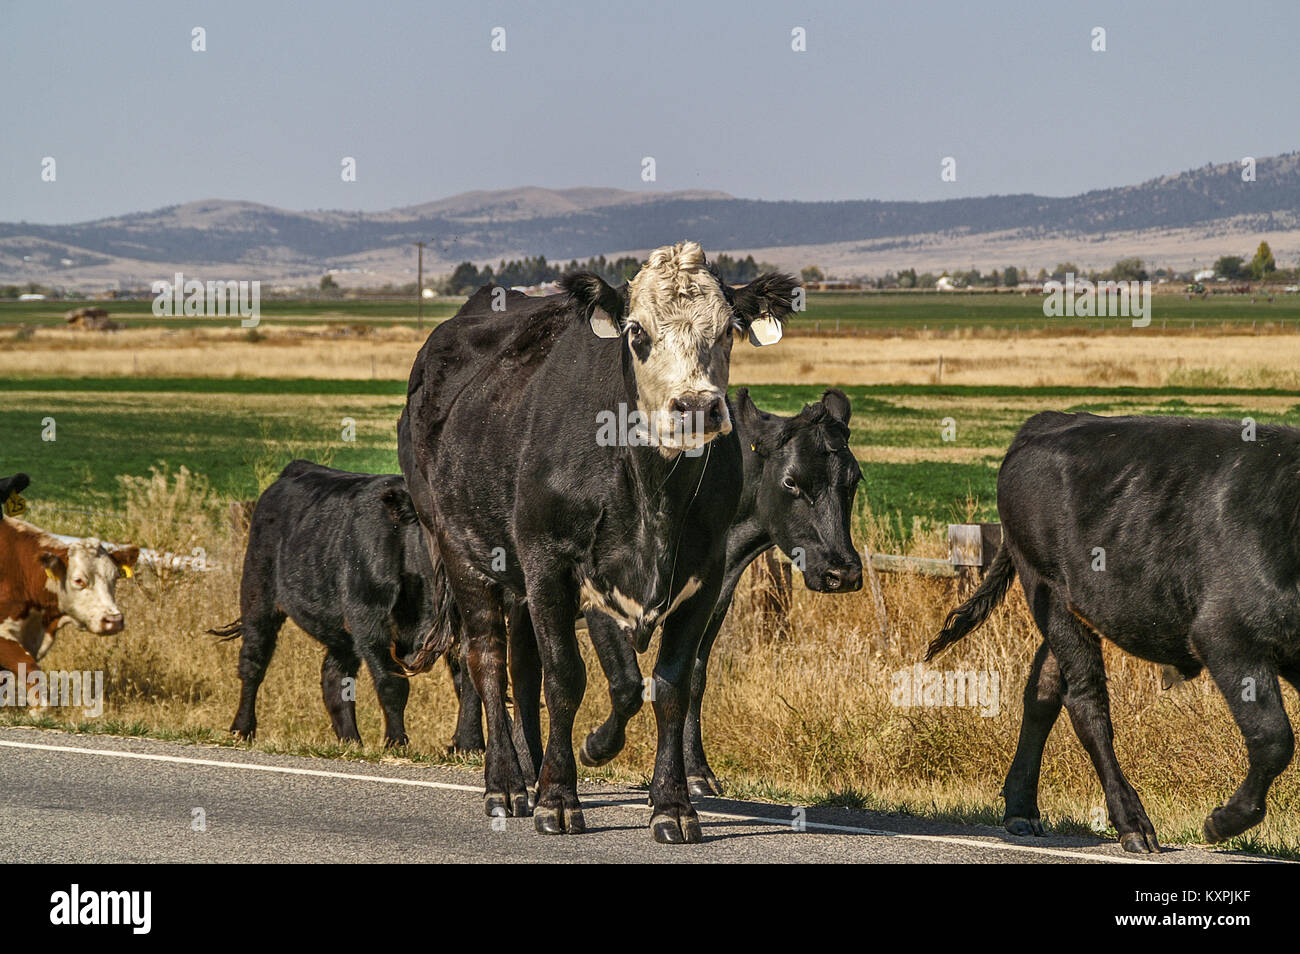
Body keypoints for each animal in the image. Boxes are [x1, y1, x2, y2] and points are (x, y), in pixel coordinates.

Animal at [211, 460, 457, 749]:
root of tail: (296, 468)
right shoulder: (369, 623)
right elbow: (392, 684)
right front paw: (397, 743)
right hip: (257, 596)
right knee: (253, 663)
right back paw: (242, 729)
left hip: (339, 631)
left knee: (334, 677)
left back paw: (351, 741)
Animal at [399, 241, 796, 843]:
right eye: (636, 332)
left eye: (728, 330)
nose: (696, 406)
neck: (653, 492)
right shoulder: (551, 564)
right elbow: (566, 678)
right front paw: (560, 799)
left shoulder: (704, 576)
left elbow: (671, 686)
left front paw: (672, 804)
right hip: (461, 552)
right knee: (488, 661)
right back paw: (507, 785)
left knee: (521, 667)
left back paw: (531, 772)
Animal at [450, 387, 864, 797]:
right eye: (791, 482)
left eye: (855, 479)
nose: (843, 572)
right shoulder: (603, 603)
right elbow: (627, 685)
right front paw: (595, 747)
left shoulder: (712, 603)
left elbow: (692, 680)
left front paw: (697, 772)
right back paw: (487, 754)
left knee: (521, 668)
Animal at [927, 411, 1300, 853]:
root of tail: (1046, 421)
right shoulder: (1227, 637)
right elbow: (1274, 738)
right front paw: (1221, 822)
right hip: (1048, 590)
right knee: (1087, 702)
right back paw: (1132, 822)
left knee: (1044, 691)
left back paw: (1022, 809)